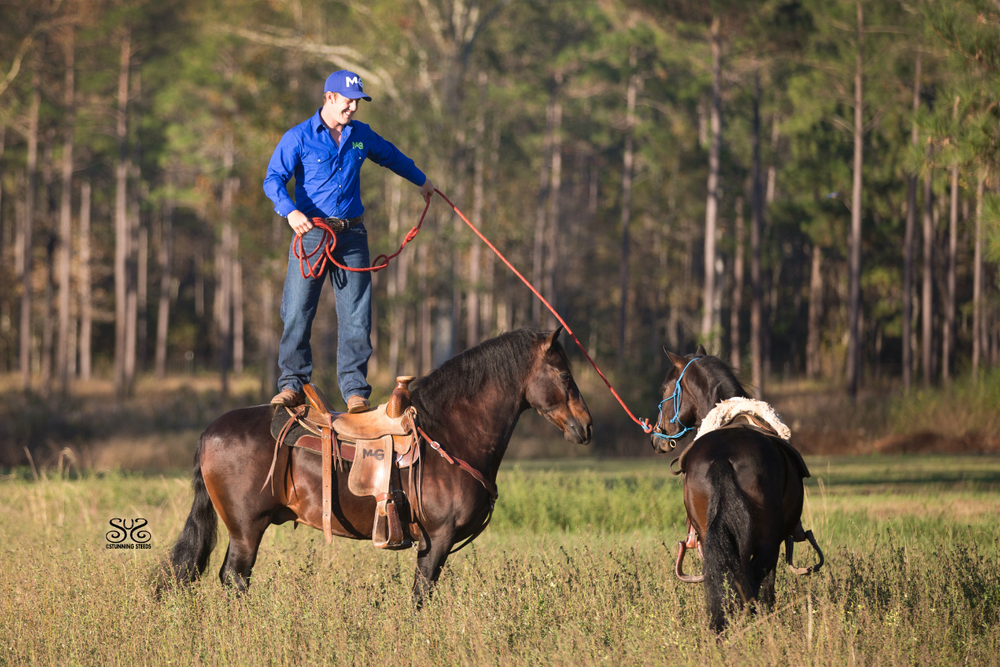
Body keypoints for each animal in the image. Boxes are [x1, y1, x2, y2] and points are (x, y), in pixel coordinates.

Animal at [156, 327, 592, 605]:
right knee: (235, 578)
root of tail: (210, 432)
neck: (450, 434)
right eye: (565, 373)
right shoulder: (438, 539)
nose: (586, 426)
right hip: (247, 529)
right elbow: (421, 596)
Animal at [650, 345, 822, 632]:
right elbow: (768, 588)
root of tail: (723, 456)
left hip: (711, 535)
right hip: (766, 540)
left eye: (665, 389)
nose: (657, 438)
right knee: (750, 582)